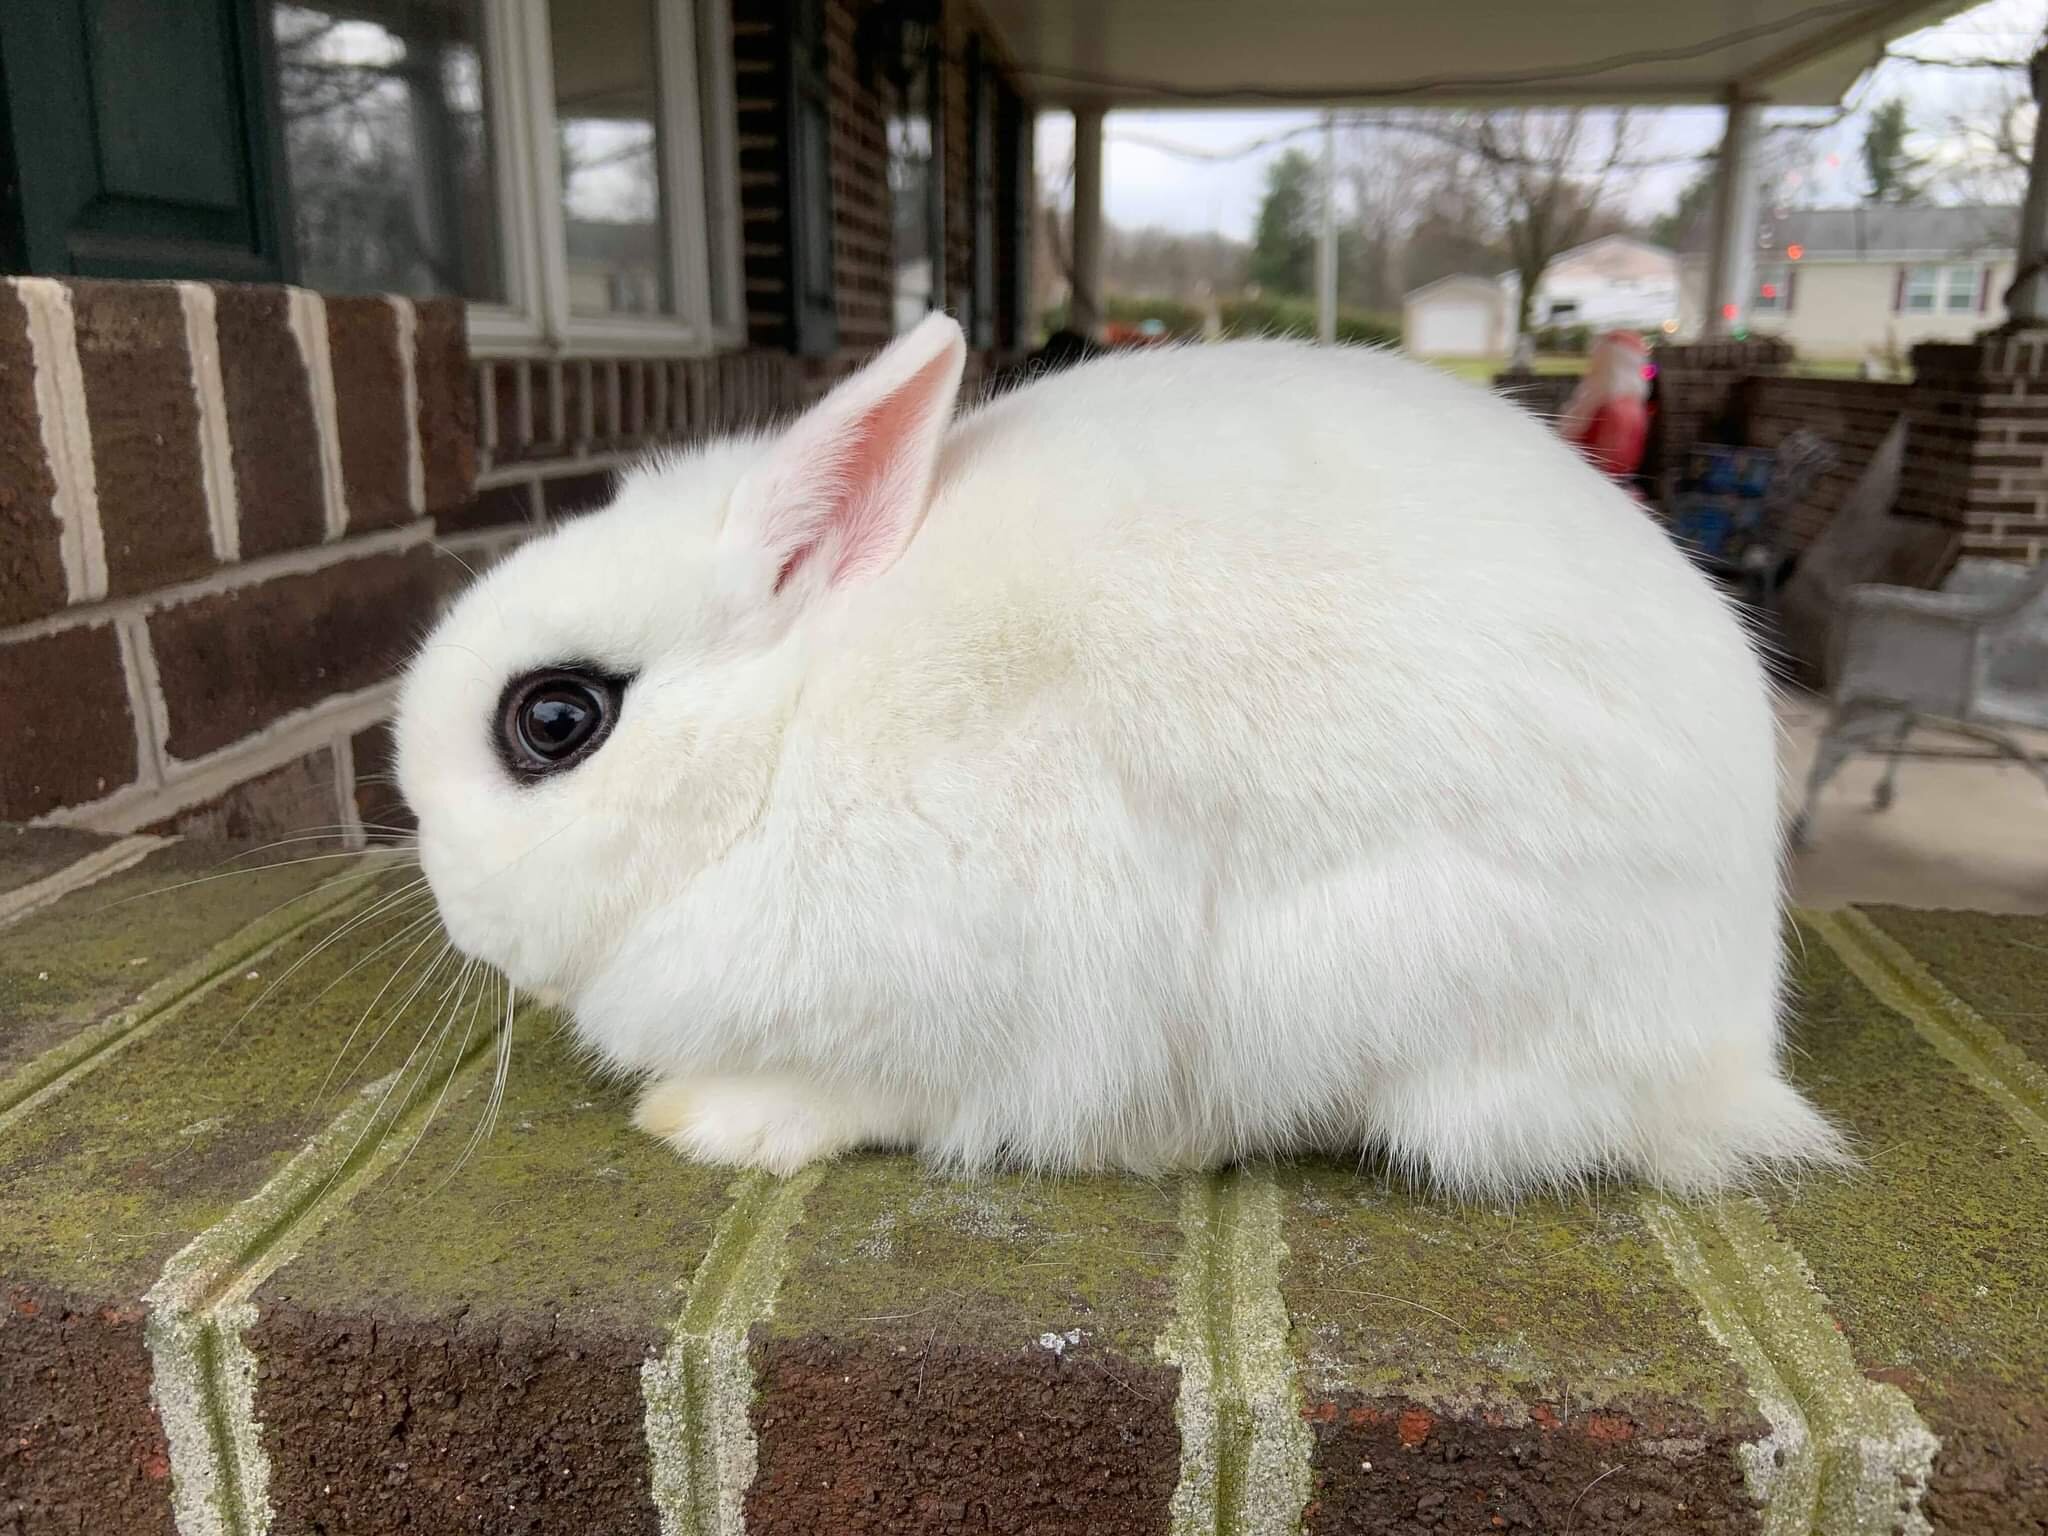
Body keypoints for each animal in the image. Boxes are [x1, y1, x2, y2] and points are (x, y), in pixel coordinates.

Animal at [394, 313, 1846, 1196]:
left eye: (554, 720)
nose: (449, 908)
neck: (791, 731)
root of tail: (1725, 1038)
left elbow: (846, 1092)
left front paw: (705, 1122)